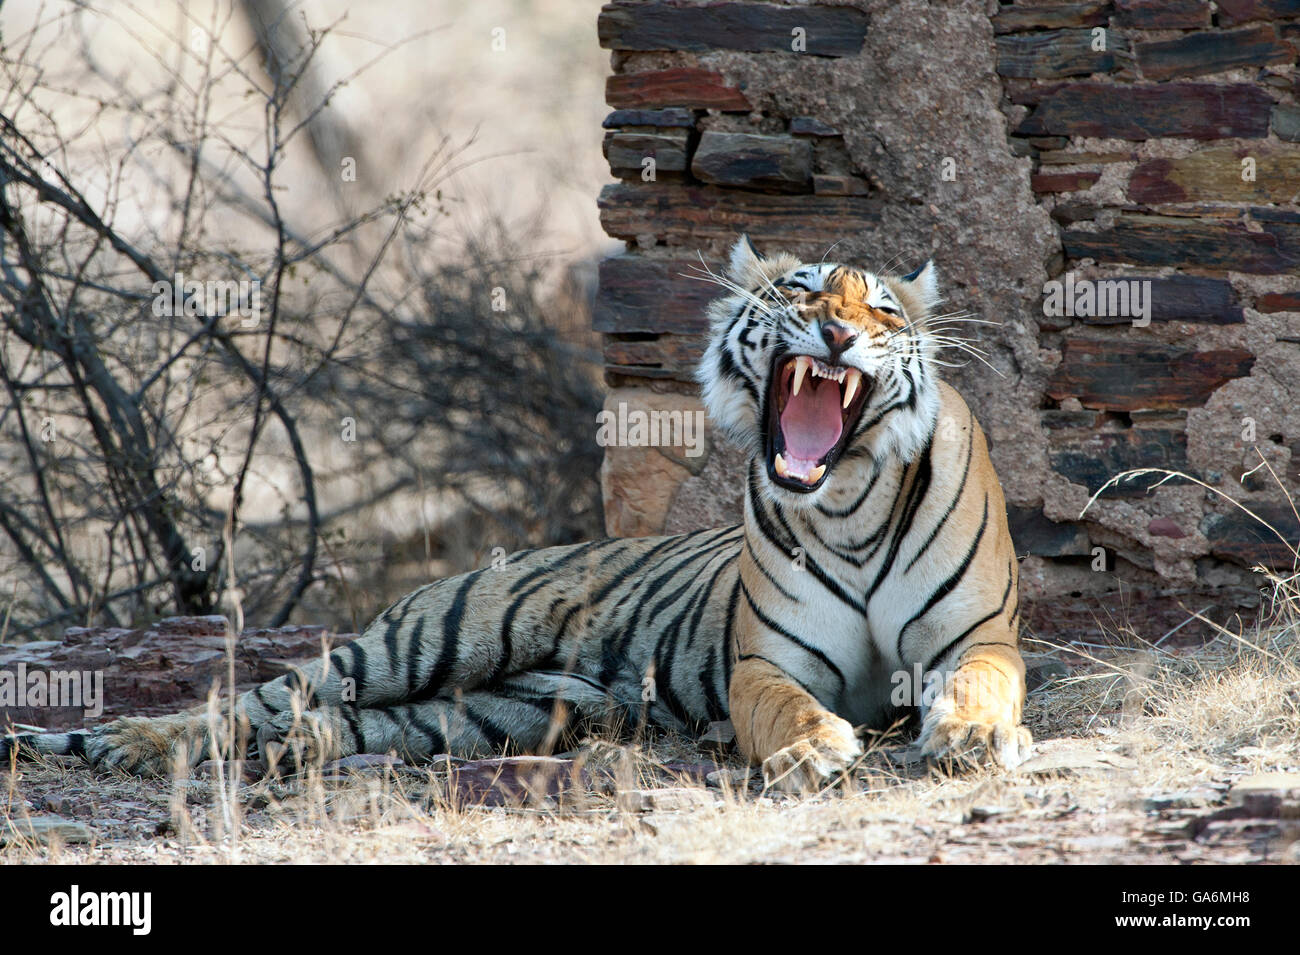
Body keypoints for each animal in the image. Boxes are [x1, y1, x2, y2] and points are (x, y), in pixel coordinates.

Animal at [2, 236, 1031, 792]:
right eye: (802, 289)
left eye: (884, 311)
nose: (839, 332)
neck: (847, 498)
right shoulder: (765, 663)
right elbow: (785, 707)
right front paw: (818, 749)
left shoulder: (977, 638)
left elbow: (983, 685)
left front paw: (975, 738)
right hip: (413, 642)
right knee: (254, 697)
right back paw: (131, 742)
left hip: (481, 716)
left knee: (328, 729)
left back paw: (292, 753)